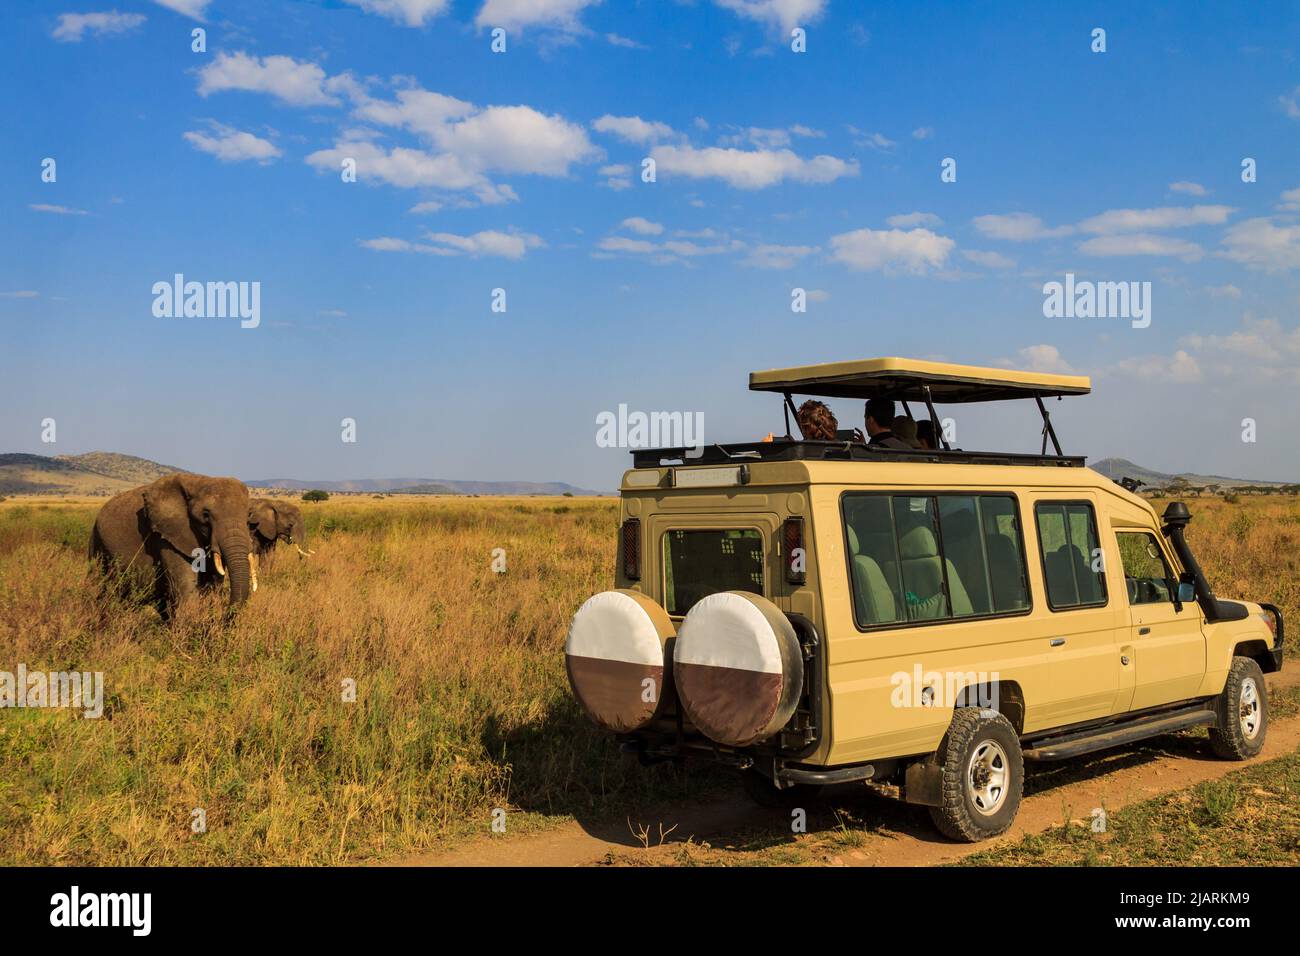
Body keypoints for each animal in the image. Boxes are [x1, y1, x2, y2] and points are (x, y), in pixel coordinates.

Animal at [89, 473, 253, 613]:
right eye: (206, 515)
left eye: (249, 515)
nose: (228, 612)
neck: (198, 481)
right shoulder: (167, 536)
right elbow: (185, 587)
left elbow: (213, 581)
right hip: (96, 542)